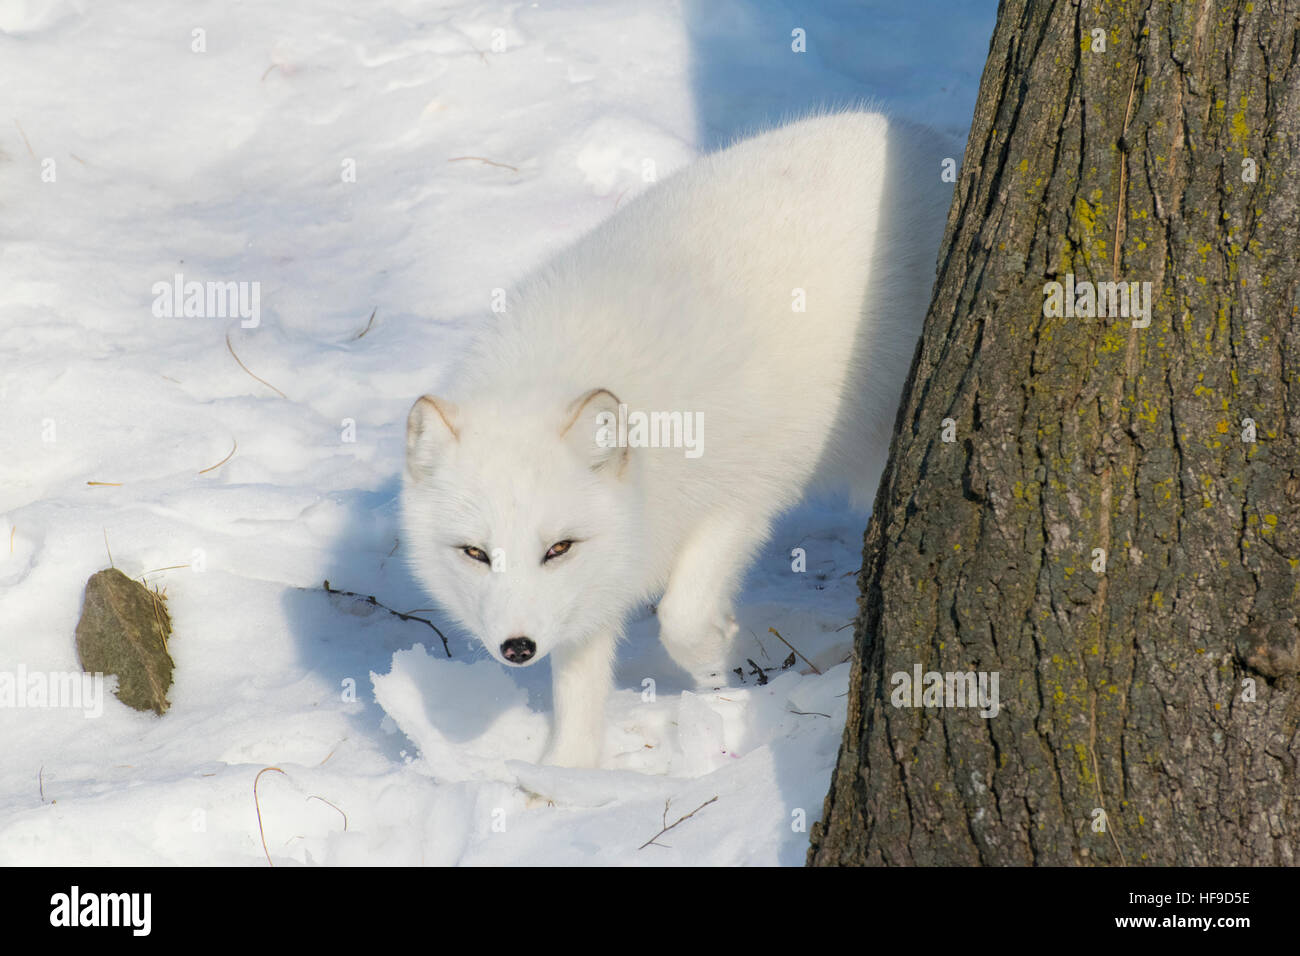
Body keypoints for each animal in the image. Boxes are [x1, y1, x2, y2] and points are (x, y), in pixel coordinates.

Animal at [402, 110, 954, 768]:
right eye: (475, 553)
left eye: (558, 548)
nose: (517, 647)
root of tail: (918, 134)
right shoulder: (605, 571)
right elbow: (578, 680)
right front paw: (568, 770)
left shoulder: (744, 498)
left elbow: (681, 619)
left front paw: (719, 670)